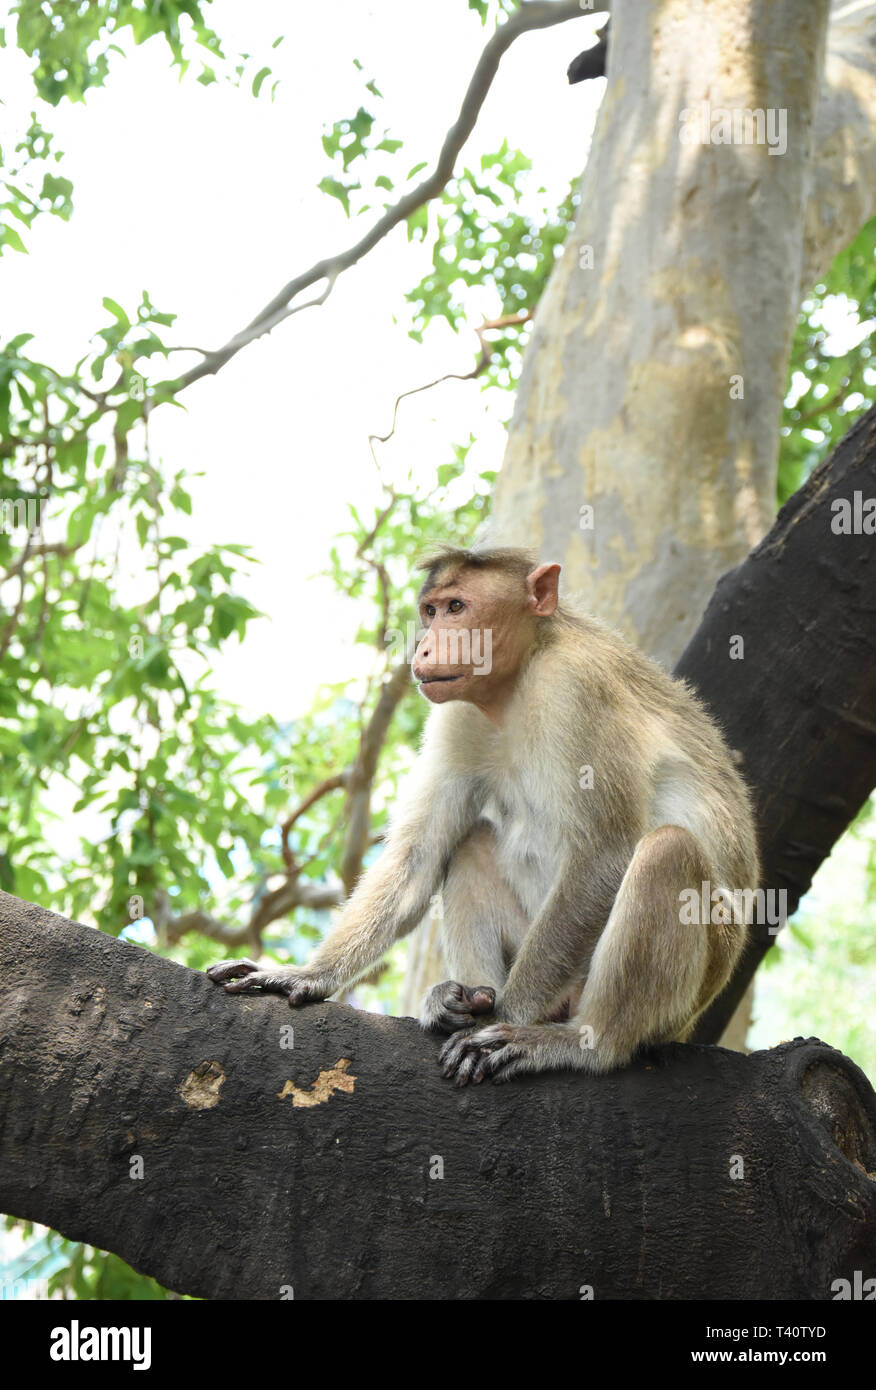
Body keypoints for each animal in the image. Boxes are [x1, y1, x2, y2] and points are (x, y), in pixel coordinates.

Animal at [207, 546, 760, 1087]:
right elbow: (420, 855)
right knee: (470, 844)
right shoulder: (459, 712)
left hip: (682, 997)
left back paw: (583, 1042)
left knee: (668, 851)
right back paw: (469, 1000)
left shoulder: (578, 687)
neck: (519, 681)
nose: (424, 649)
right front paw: (308, 974)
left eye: (457, 607)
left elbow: (605, 855)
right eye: (430, 612)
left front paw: (503, 1022)